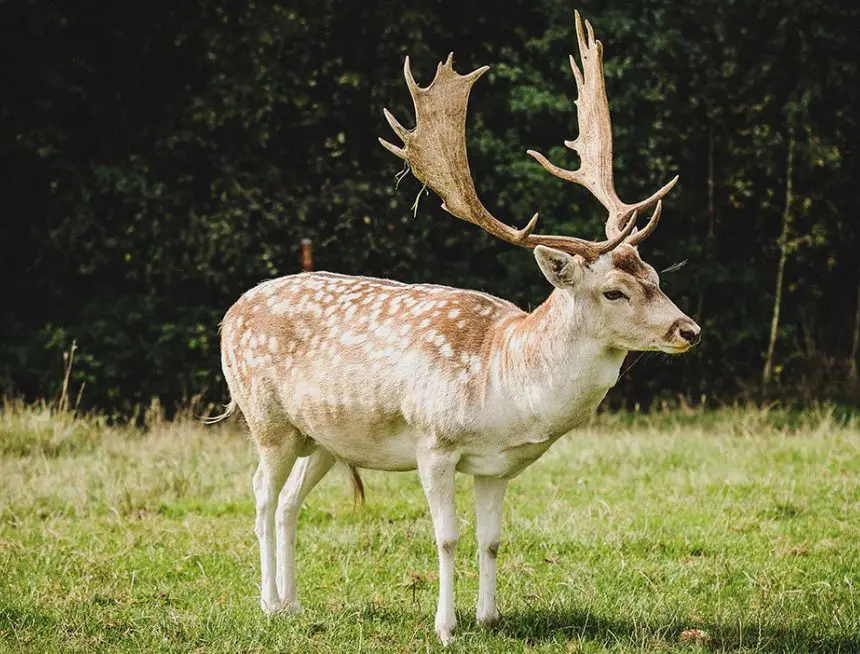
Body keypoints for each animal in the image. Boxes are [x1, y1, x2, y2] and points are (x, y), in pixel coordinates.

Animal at [214, 10, 700, 645]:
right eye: (613, 290)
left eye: (656, 275)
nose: (688, 329)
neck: (505, 381)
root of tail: (228, 315)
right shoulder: (433, 441)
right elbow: (446, 536)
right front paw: (446, 627)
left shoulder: (497, 466)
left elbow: (490, 539)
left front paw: (490, 618)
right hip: (265, 417)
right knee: (260, 496)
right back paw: (269, 603)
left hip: (322, 435)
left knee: (292, 501)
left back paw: (294, 603)